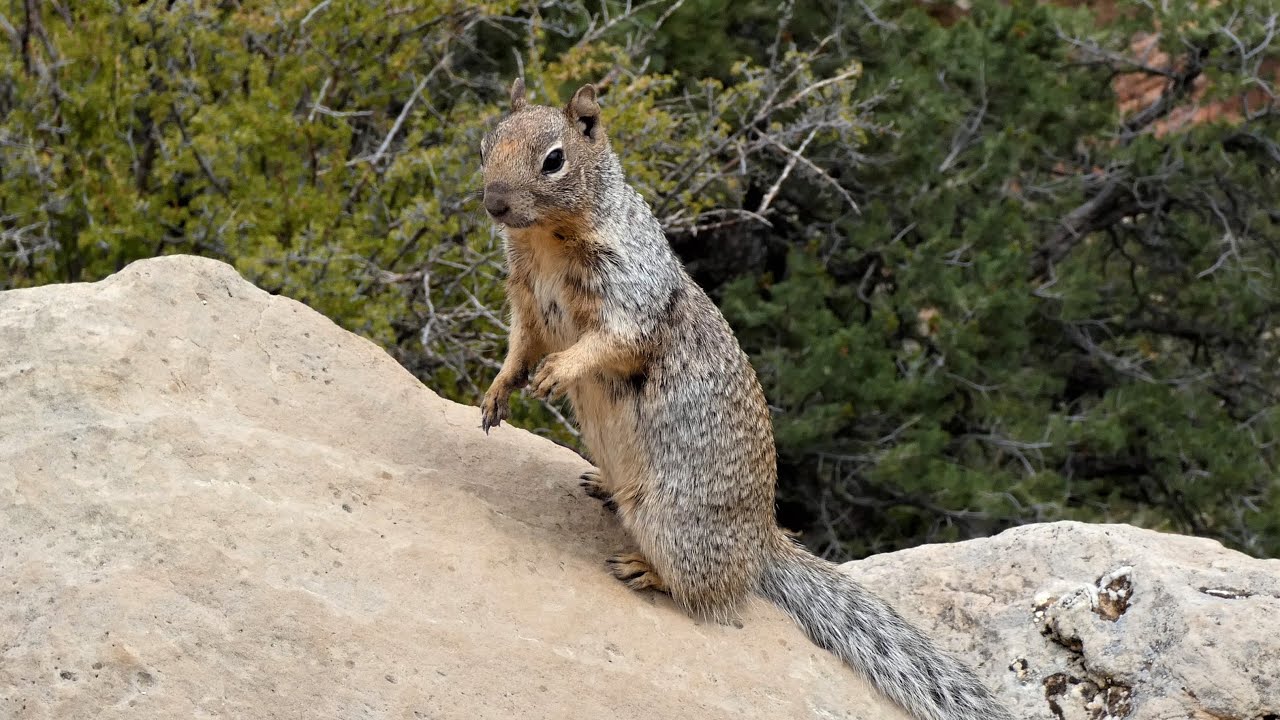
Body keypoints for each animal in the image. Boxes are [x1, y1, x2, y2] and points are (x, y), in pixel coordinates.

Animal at [477, 78, 1014, 720]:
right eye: (485, 145)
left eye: (554, 160)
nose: (493, 203)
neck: (545, 240)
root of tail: (764, 541)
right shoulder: (527, 301)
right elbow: (519, 346)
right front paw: (497, 391)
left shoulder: (632, 291)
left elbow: (614, 339)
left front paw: (560, 371)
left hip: (670, 521)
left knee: (712, 590)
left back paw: (645, 569)